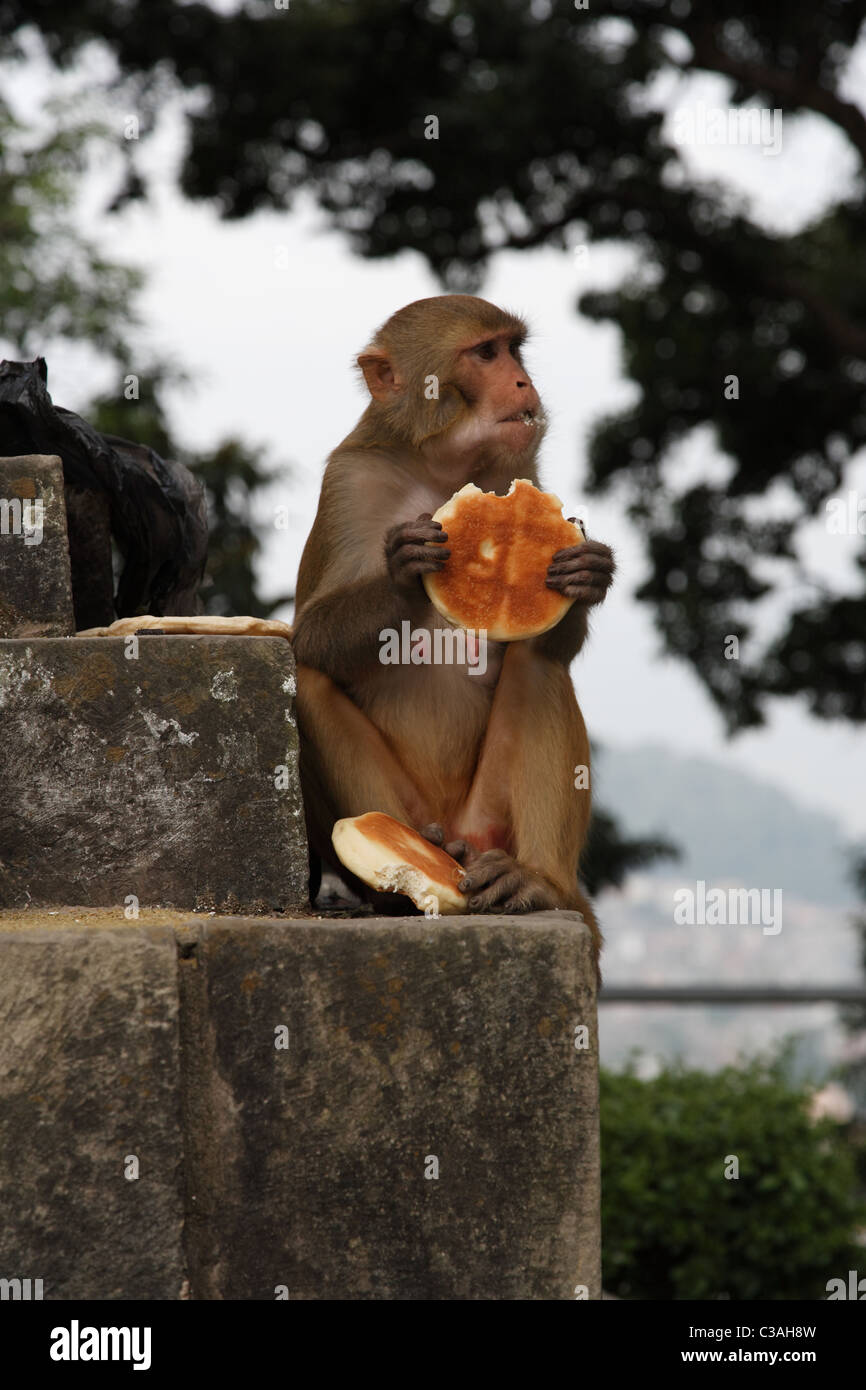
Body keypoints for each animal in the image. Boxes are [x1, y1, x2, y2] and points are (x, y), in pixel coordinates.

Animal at [292, 295, 615, 969]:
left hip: (490, 816)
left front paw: (588, 573)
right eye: (486, 353)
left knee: (540, 668)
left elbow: (547, 643)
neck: (440, 469)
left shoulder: (525, 468)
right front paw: (404, 573)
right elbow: (308, 636)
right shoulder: (350, 483)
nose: (521, 381)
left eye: (515, 350)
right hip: (407, 804)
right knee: (307, 681)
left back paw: (537, 884)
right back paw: (405, 874)